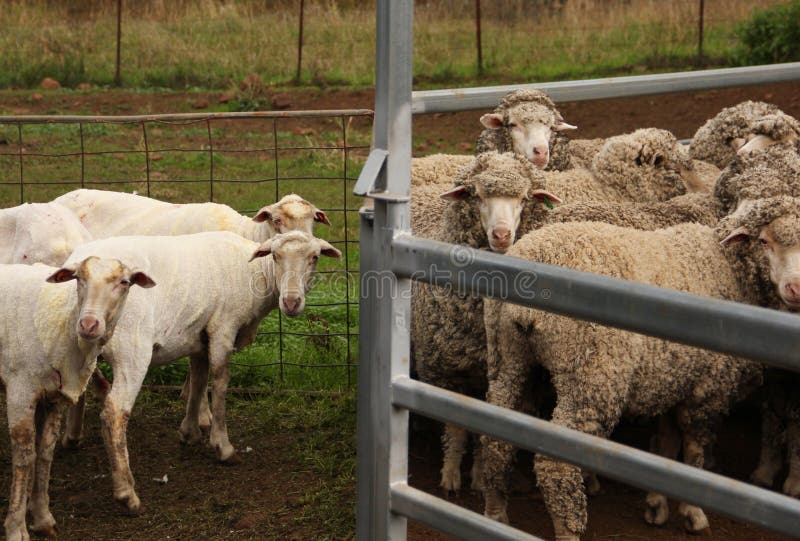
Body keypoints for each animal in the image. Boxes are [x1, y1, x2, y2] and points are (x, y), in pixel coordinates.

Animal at [0, 257, 155, 541]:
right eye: (79, 278)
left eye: (124, 282)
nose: (88, 324)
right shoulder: (20, 389)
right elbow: (24, 458)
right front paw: (16, 528)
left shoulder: (54, 397)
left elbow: (44, 454)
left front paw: (42, 518)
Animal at [60, 230, 340, 513]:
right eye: (276, 255)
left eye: (314, 258)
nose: (291, 302)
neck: (254, 272)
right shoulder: (223, 327)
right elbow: (219, 382)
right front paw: (223, 446)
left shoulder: (197, 334)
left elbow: (198, 380)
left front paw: (189, 432)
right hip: (132, 349)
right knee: (114, 413)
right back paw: (126, 492)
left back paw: (71, 438)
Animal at [479, 195, 800, 539]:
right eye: (764, 241)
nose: (795, 288)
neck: (728, 268)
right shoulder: (707, 390)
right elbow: (694, 454)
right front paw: (693, 513)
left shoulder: (673, 379)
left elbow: (666, 447)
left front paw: (657, 504)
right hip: (592, 378)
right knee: (555, 464)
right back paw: (567, 531)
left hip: (507, 358)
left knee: (495, 438)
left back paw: (495, 514)